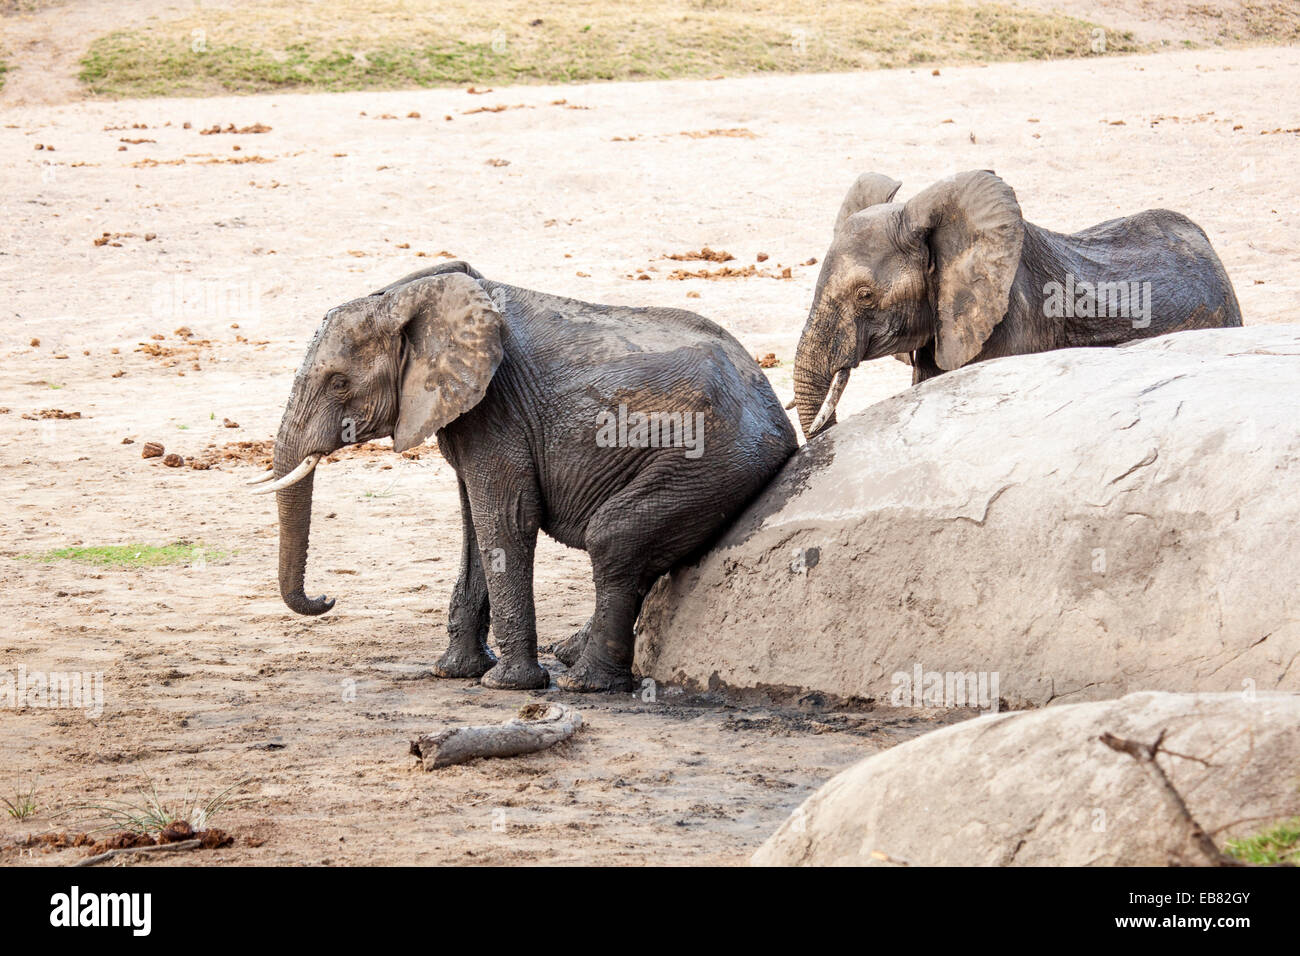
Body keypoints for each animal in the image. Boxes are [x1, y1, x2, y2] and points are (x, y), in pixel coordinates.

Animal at [254, 261, 797, 692]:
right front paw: (454, 672)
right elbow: (475, 526)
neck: (417, 297)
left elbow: (507, 520)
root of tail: (777, 411)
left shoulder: (498, 409)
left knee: (614, 539)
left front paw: (507, 684)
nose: (326, 598)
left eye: (338, 383)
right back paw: (570, 655)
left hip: (711, 459)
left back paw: (584, 683)